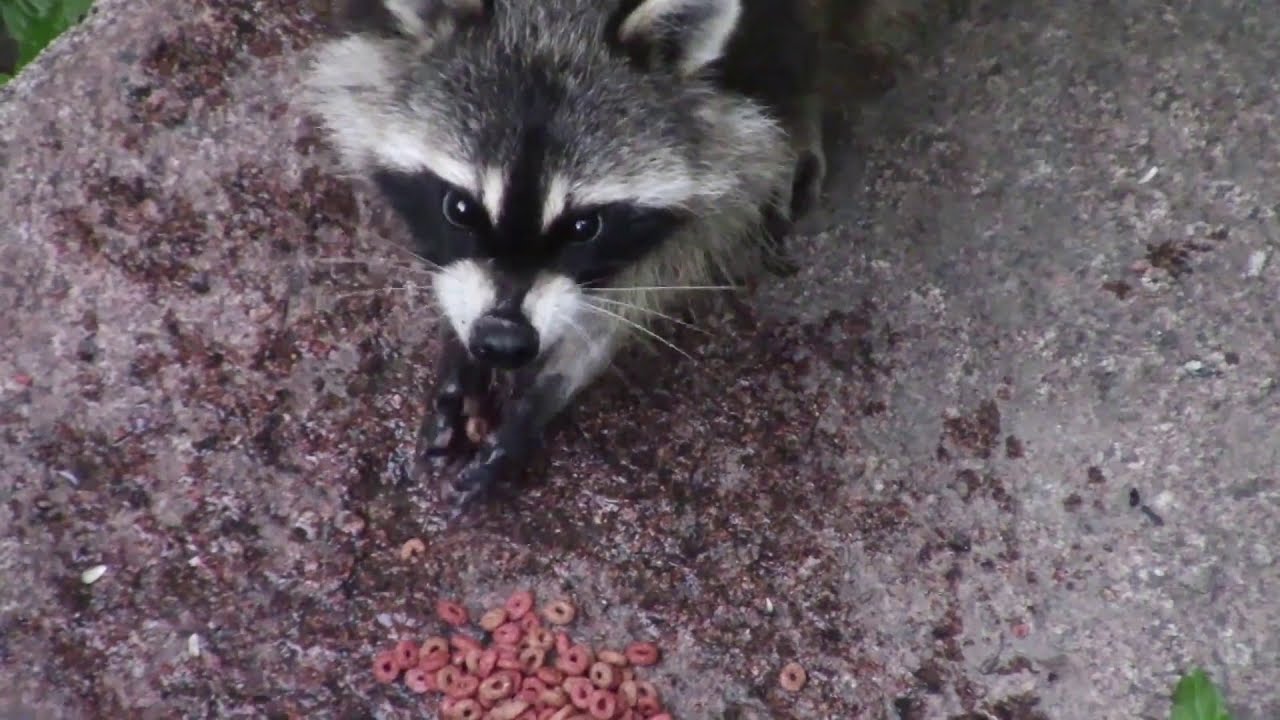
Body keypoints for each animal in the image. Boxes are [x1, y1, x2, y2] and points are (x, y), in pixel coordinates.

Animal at [303, 0, 928, 512]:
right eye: (459, 207)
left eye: (585, 227)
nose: (501, 341)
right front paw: (455, 336)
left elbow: (699, 231)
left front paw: (566, 367)